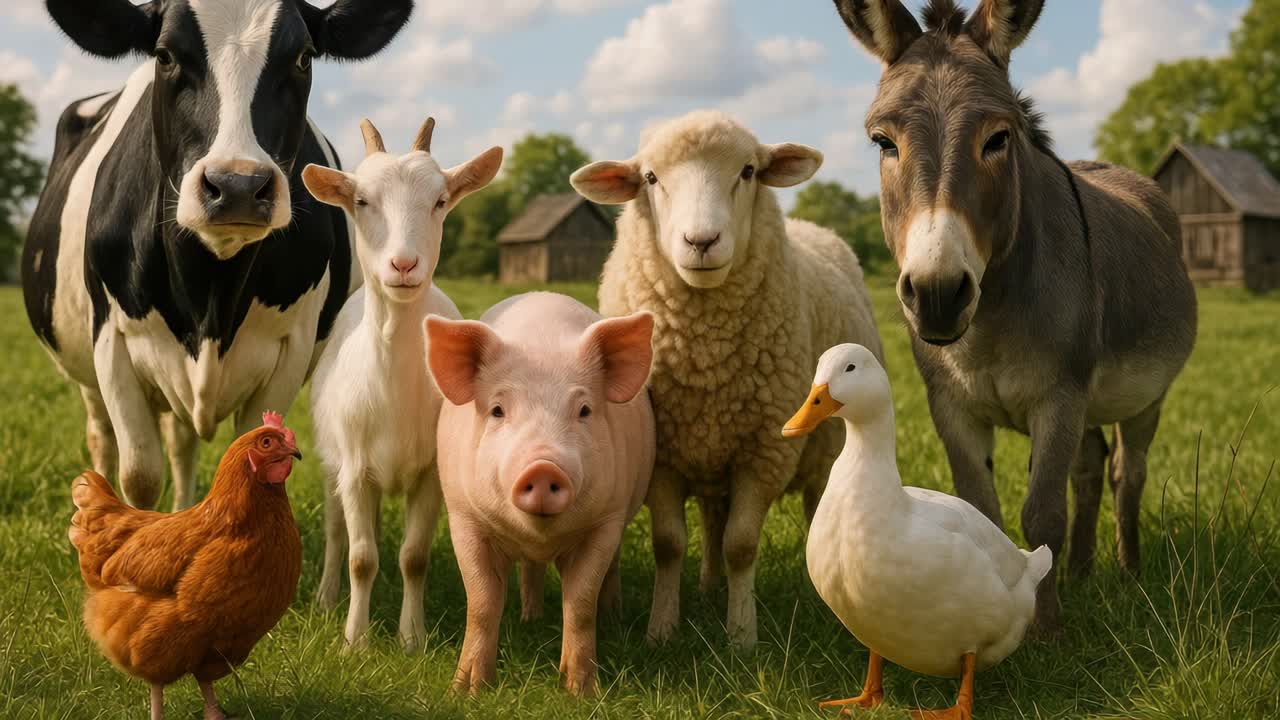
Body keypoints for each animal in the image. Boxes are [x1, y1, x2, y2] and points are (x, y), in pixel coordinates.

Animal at [22, 0, 413, 510]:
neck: (208, 295)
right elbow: (140, 476)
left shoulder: (292, 346)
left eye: (303, 58)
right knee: (102, 437)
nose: (238, 185)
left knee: (181, 440)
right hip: (85, 372)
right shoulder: (111, 342)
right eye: (165, 55)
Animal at [425, 292, 656, 696]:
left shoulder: (606, 521)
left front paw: (581, 692)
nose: (543, 466)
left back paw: (612, 615)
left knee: (607, 571)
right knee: (531, 569)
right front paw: (466, 691)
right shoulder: (463, 518)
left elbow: (580, 602)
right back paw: (530, 619)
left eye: (584, 410)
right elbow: (481, 601)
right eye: (497, 410)